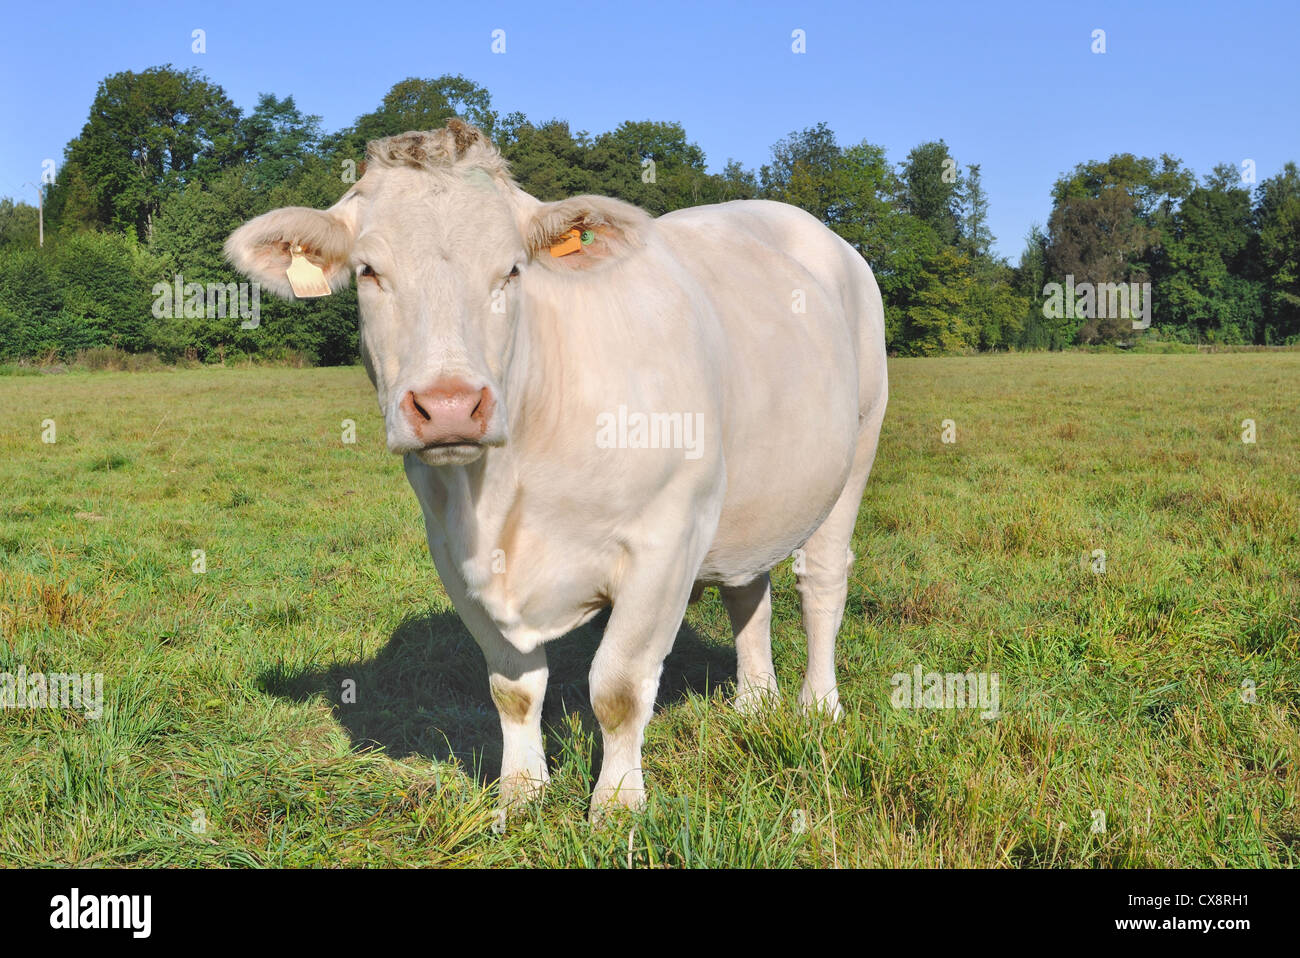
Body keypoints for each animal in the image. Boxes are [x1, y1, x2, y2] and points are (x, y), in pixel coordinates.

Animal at [225, 119, 888, 820]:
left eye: (512, 270)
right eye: (370, 271)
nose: (450, 406)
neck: (505, 490)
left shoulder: (667, 534)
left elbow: (619, 686)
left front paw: (616, 805)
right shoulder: (453, 552)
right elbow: (513, 686)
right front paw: (520, 795)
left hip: (857, 446)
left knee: (821, 582)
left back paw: (818, 708)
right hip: (750, 497)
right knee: (747, 589)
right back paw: (756, 705)